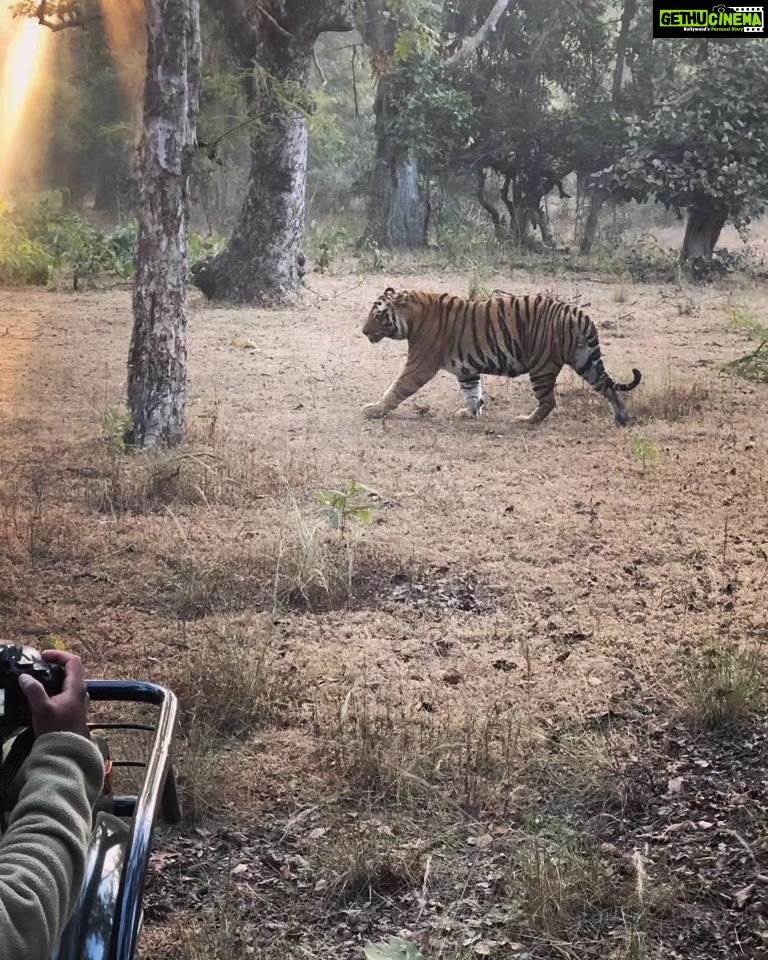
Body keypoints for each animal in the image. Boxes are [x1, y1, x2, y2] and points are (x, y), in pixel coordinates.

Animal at [361, 287, 641, 427]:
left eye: (378, 314)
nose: (363, 331)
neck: (412, 318)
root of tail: (575, 312)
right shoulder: (467, 369)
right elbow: (472, 391)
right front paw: (470, 412)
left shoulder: (420, 364)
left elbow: (397, 388)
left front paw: (374, 409)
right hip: (585, 360)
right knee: (608, 386)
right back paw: (622, 418)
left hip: (542, 366)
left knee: (548, 401)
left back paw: (527, 420)